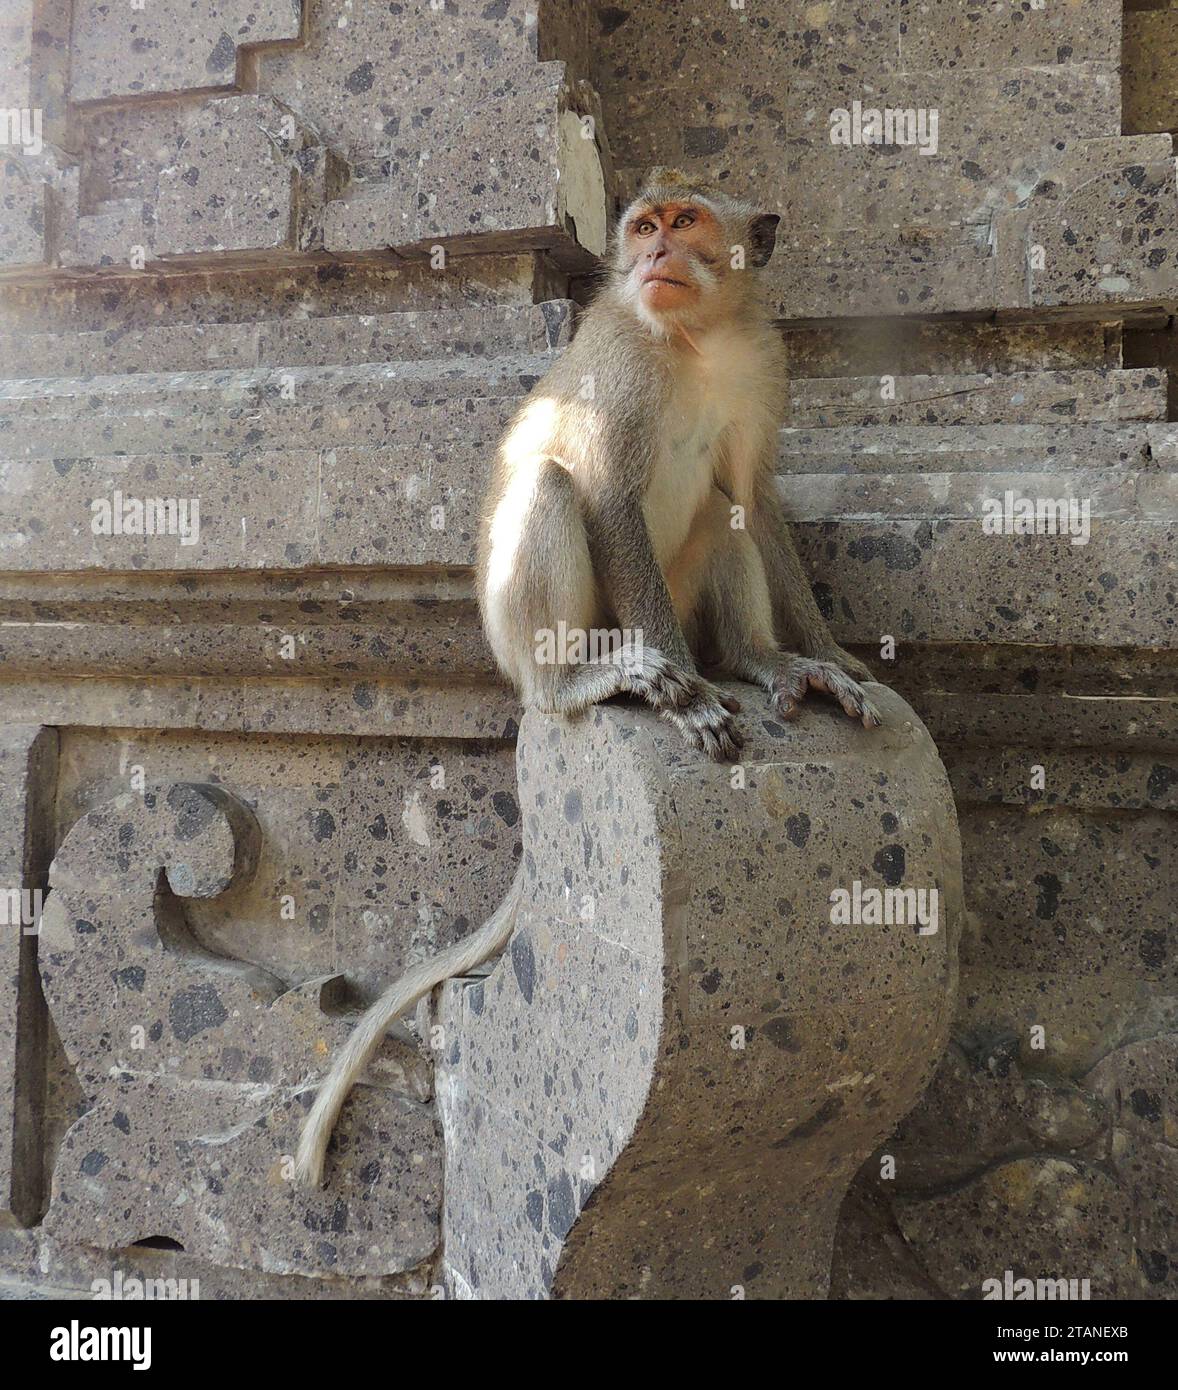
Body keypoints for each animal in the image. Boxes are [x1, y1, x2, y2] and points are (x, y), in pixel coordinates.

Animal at [294, 168, 880, 1187]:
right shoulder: (621, 371)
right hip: (539, 637)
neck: (694, 339)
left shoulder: (761, 367)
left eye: (684, 222)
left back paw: (761, 661)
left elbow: (758, 500)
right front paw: (689, 692)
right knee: (553, 485)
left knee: (720, 508)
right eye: (642, 227)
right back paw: (591, 683)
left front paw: (828, 654)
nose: (654, 254)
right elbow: (605, 494)